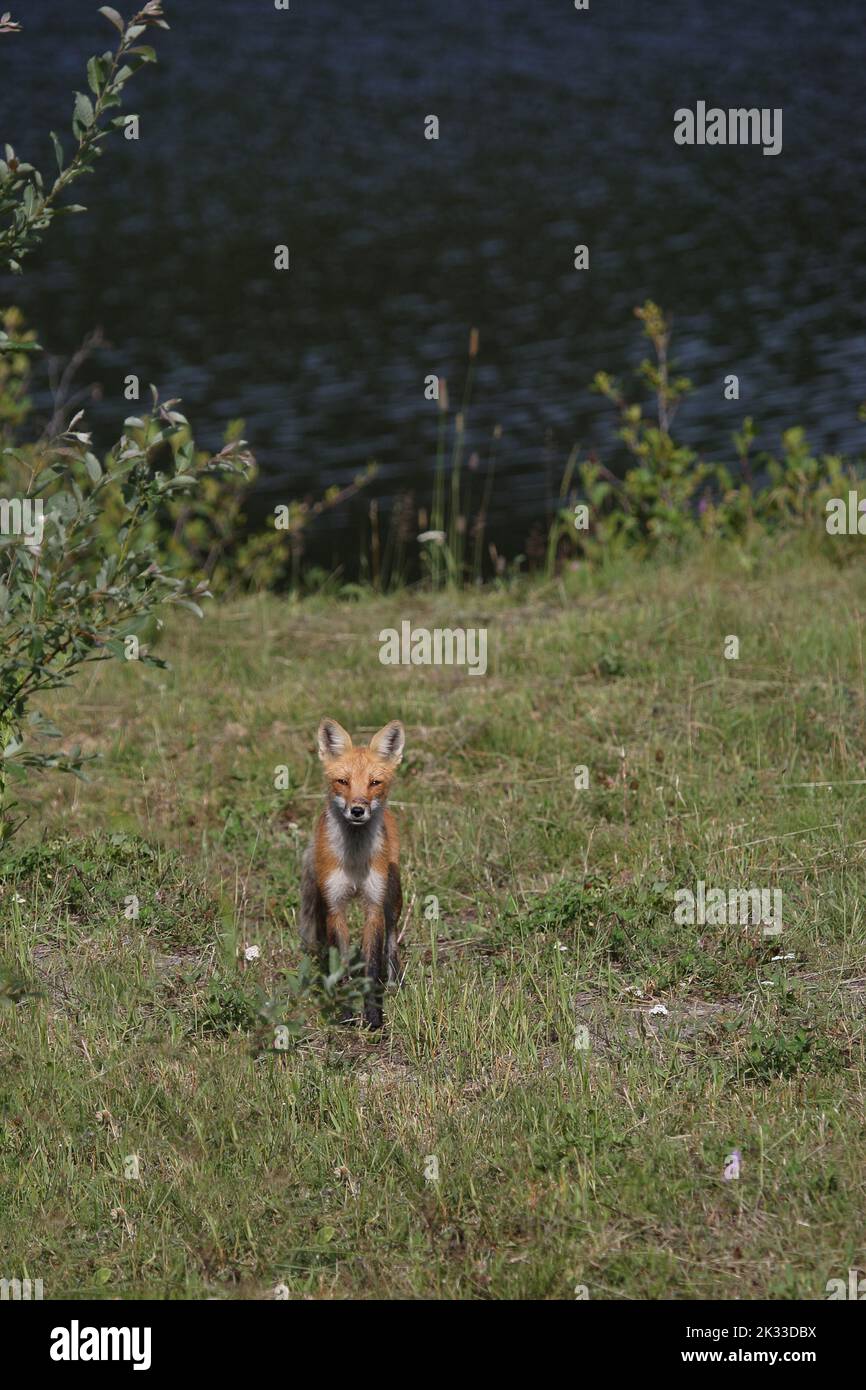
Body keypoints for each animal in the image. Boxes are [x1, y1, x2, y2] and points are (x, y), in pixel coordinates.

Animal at [300, 717, 405, 1029]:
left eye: (374, 783)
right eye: (343, 782)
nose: (357, 810)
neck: (355, 861)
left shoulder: (373, 906)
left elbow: (371, 965)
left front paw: (373, 1018)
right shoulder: (335, 906)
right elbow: (341, 963)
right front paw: (345, 1013)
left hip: (393, 897)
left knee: (391, 941)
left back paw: (394, 982)